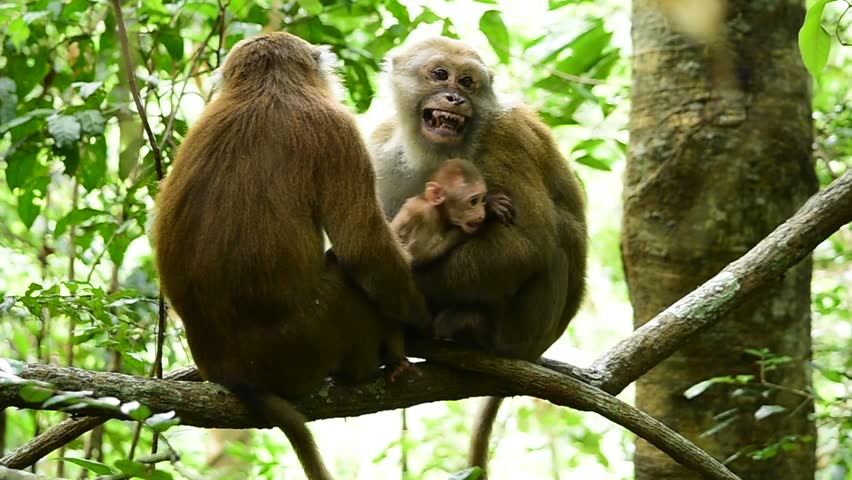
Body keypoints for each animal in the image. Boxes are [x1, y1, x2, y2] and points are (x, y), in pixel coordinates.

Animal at [153, 32, 430, 480]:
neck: (265, 88)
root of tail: (234, 373)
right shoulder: (337, 129)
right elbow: (363, 246)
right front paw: (419, 315)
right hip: (311, 339)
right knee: (346, 275)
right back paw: (371, 364)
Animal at [369, 36, 588, 477]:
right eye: (440, 74)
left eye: (467, 81)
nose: (455, 96)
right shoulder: (382, 148)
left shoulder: (508, 135)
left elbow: (526, 244)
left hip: (524, 330)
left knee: (553, 240)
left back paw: (466, 327)